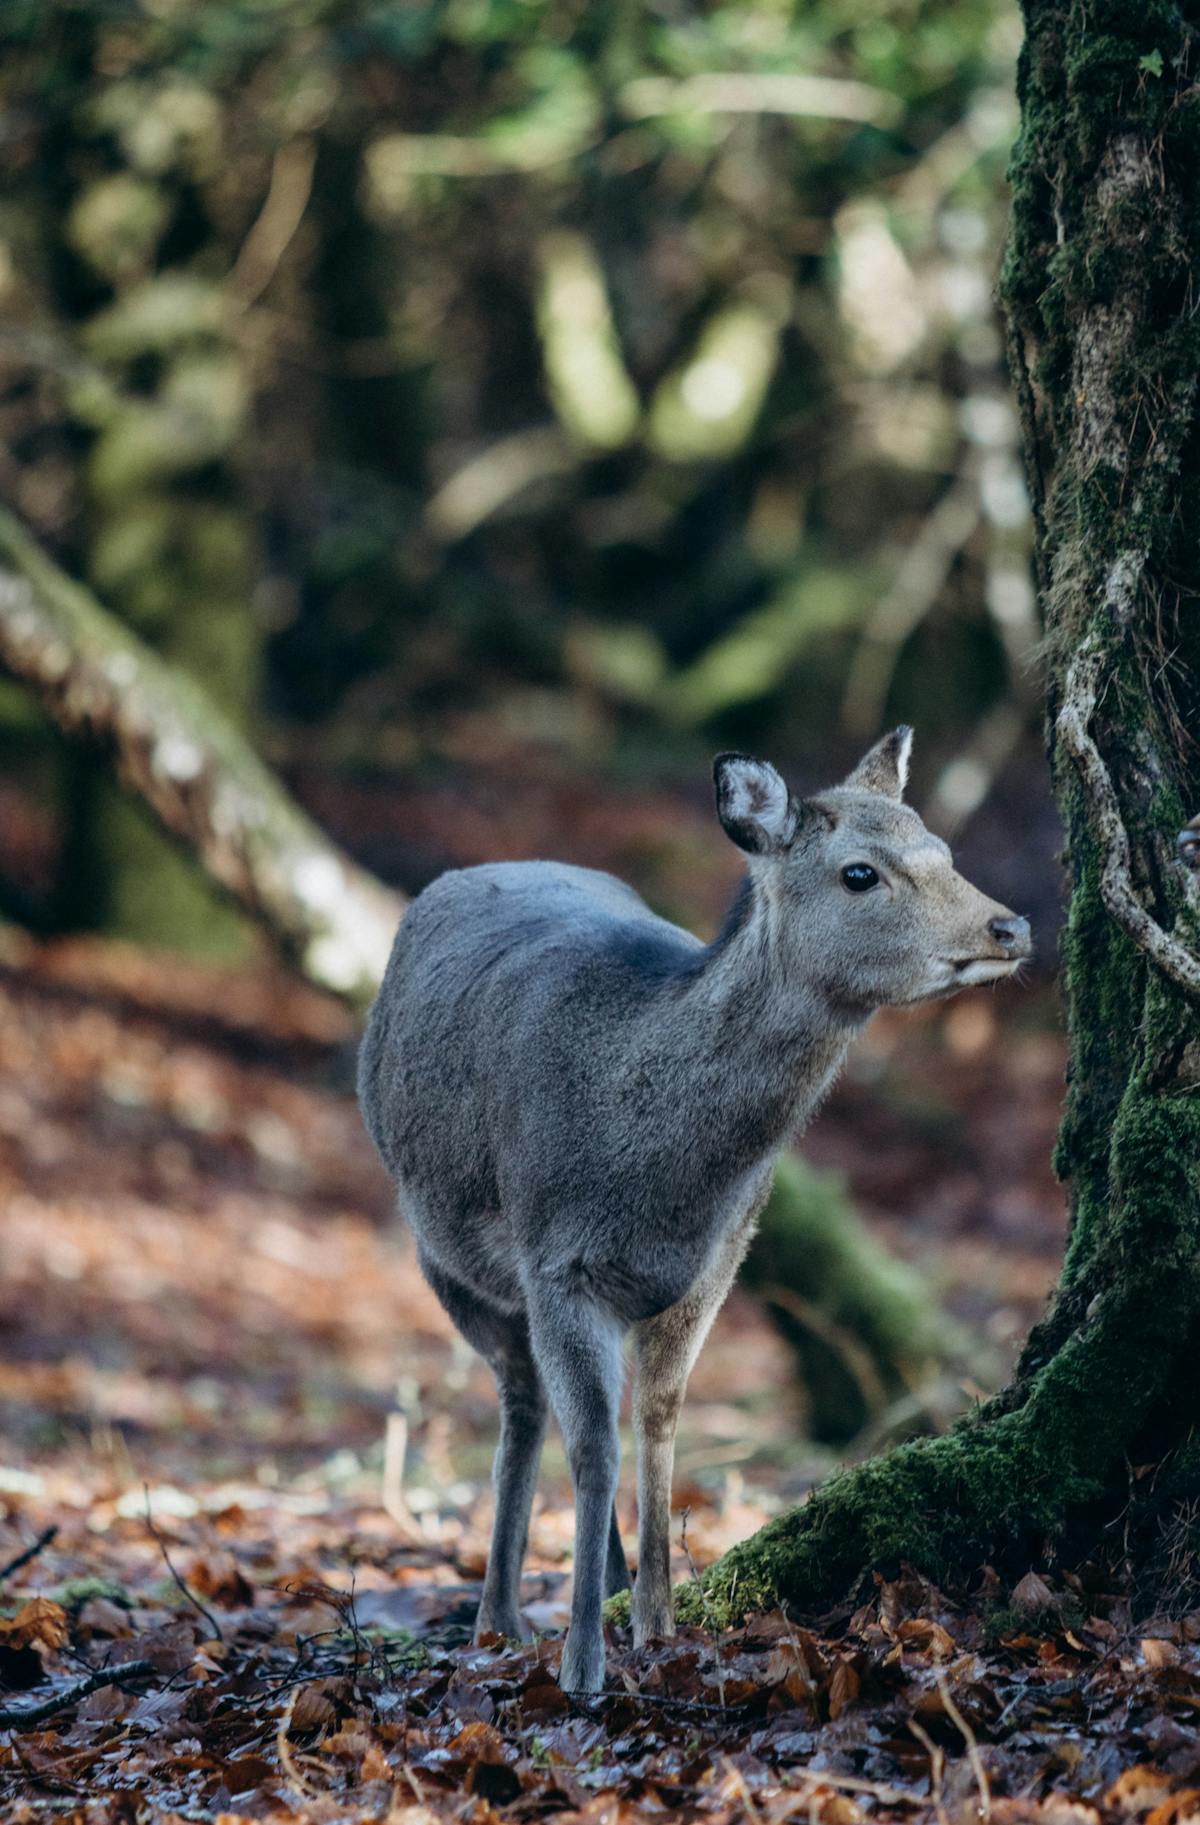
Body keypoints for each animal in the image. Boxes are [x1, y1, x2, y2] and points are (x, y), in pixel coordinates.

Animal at [357, 728, 1032, 1693]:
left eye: (944, 849)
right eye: (860, 873)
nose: (1009, 927)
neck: (657, 1182)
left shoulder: (718, 1260)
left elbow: (659, 1420)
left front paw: (655, 1625)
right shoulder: (553, 1255)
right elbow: (594, 1447)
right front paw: (583, 1666)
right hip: (438, 1250)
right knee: (523, 1403)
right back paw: (498, 1618)